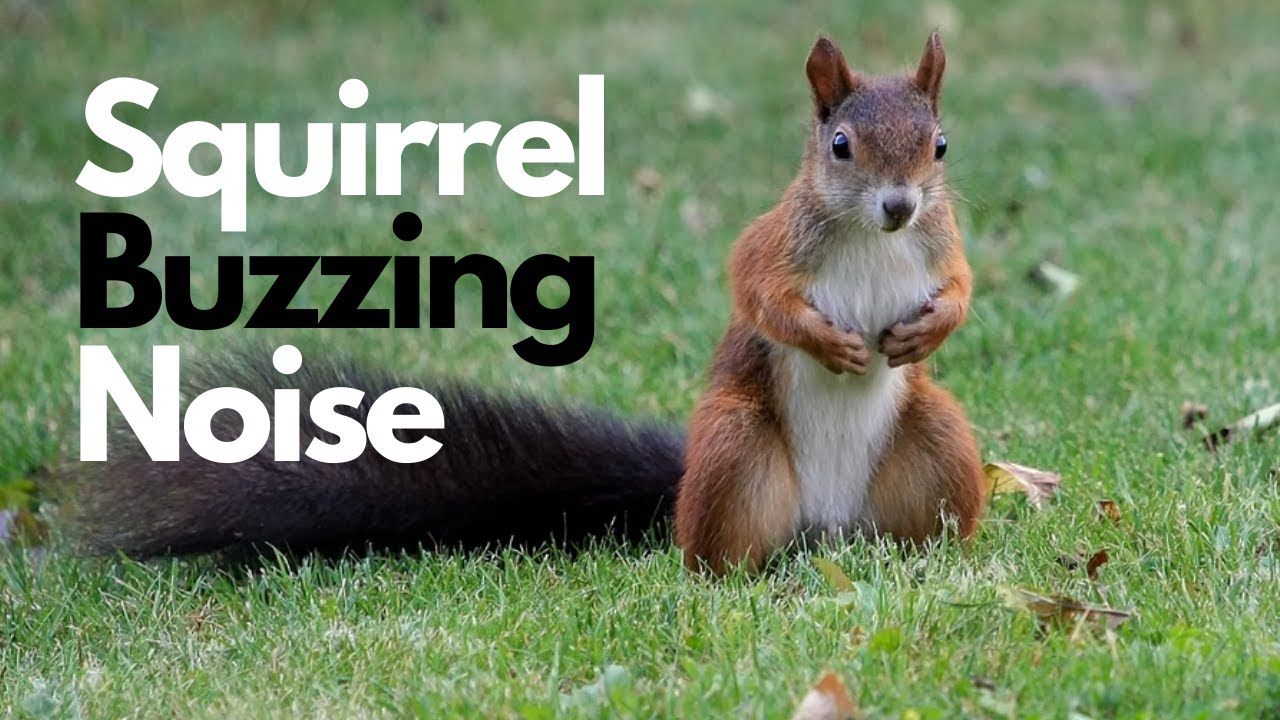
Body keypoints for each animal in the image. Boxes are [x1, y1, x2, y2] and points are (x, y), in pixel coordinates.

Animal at [58, 31, 984, 573]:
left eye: (940, 144)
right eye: (841, 146)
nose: (899, 206)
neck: (874, 238)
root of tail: (825, 527)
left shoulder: (938, 246)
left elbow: (963, 287)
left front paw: (932, 328)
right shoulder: (773, 244)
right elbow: (757, 294)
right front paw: (831, 344)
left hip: (938, 441)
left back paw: (928, 560)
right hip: (734, 448)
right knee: (715, 553)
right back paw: (737, 579)